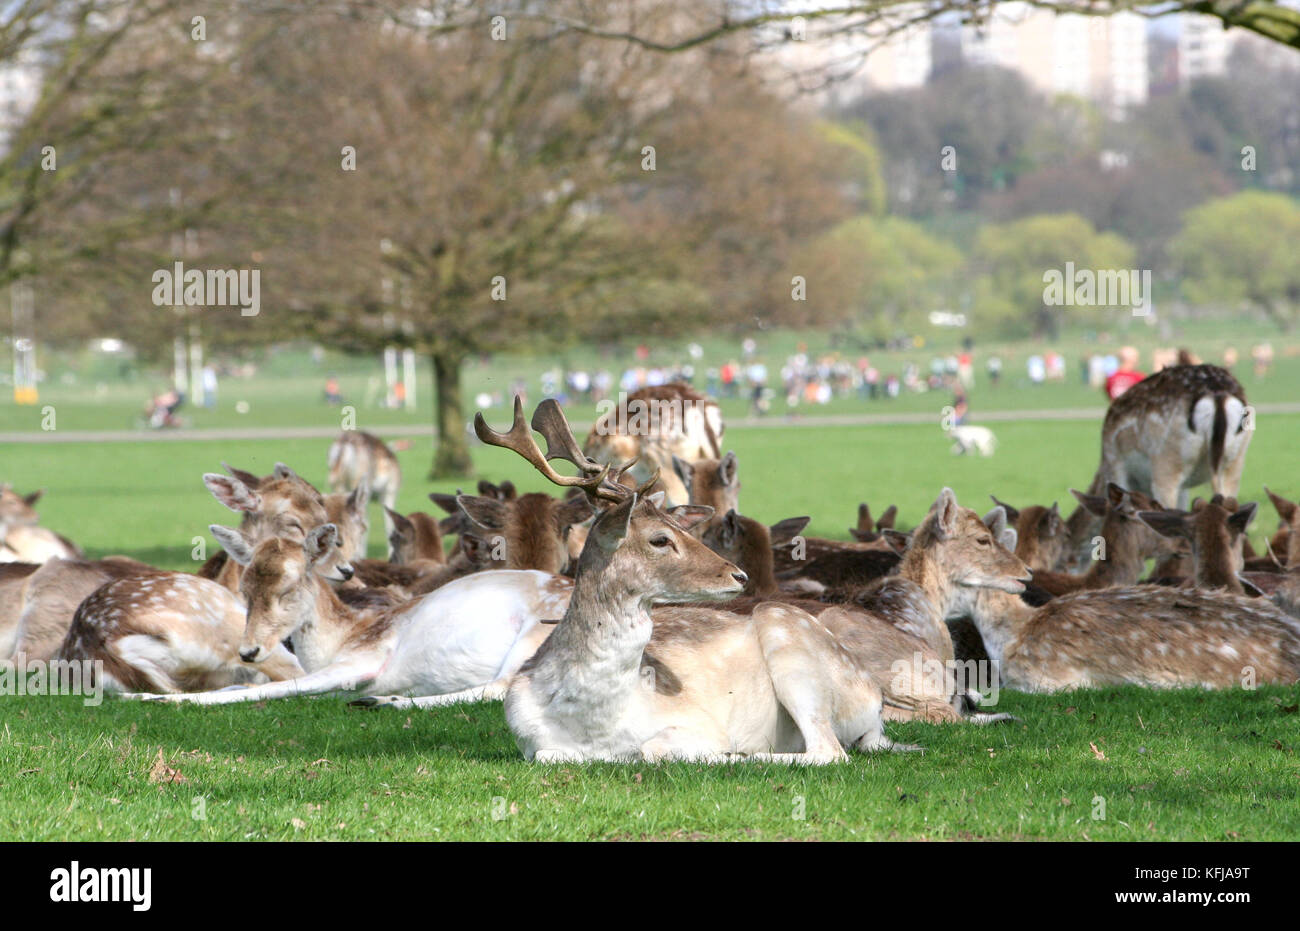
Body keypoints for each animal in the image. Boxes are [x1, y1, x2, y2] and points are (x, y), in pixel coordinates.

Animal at [1062, 364, 1253, 569]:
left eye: (1061, 561)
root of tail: (1217, 395)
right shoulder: (1184, 486)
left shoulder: (1115, 463)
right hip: (1235, 461)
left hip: (1166, 460)